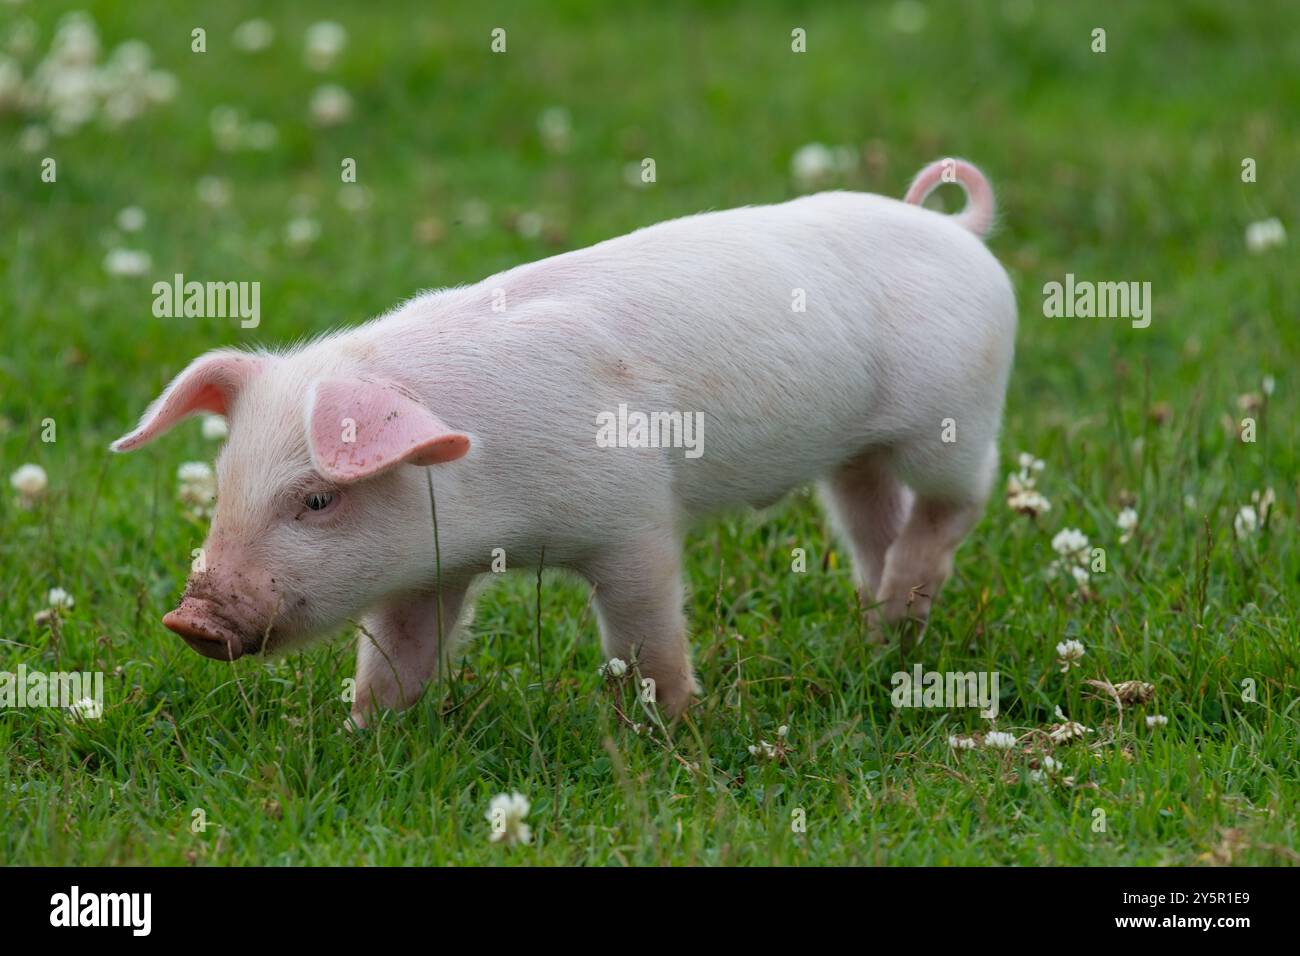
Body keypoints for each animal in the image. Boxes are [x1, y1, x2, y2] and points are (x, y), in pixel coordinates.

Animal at [113, 158, 1016, 727]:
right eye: (224, 485)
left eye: (318, 498)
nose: (190, 619)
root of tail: (962, 233)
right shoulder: (427, 566)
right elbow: (397, 657)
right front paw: (362, 737)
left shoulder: (634, 518)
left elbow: (646, 636)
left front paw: (671, 733)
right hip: (855, 457)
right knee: (873, 518)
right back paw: (886, 627)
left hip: (957, 415)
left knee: (960, 498)